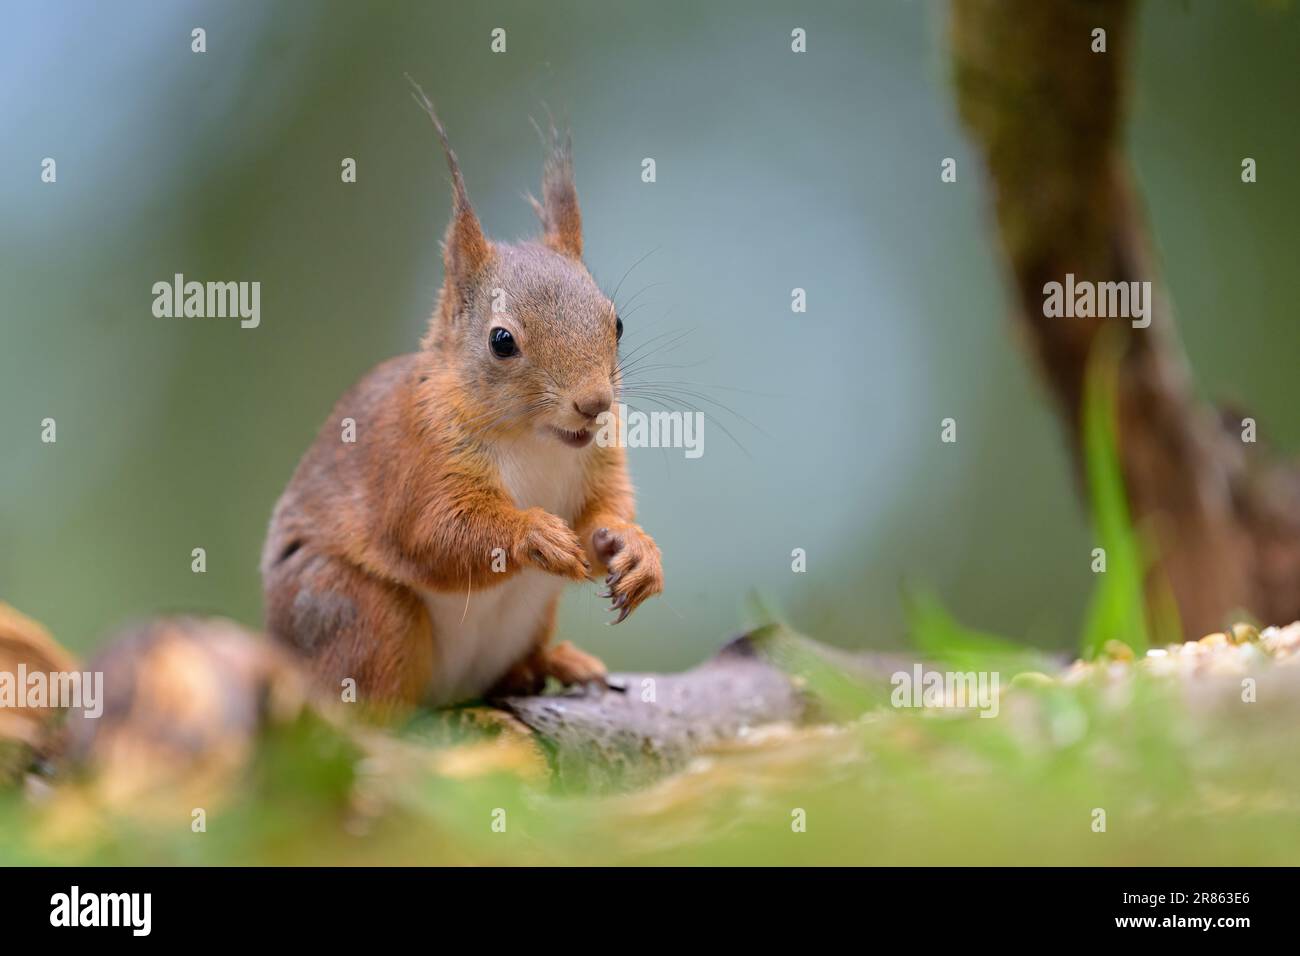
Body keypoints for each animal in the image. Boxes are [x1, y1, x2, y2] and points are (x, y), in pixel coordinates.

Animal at [260, 84, 663, 709]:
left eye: (616, 322)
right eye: (501, 340)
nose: (594, 403)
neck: (536, 441)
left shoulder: (601, 460)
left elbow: (605, 513)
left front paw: (636, 548)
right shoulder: (416, 456)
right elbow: (437, 532)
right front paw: (534, 533)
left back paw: (552, 663)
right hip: (357, 612)